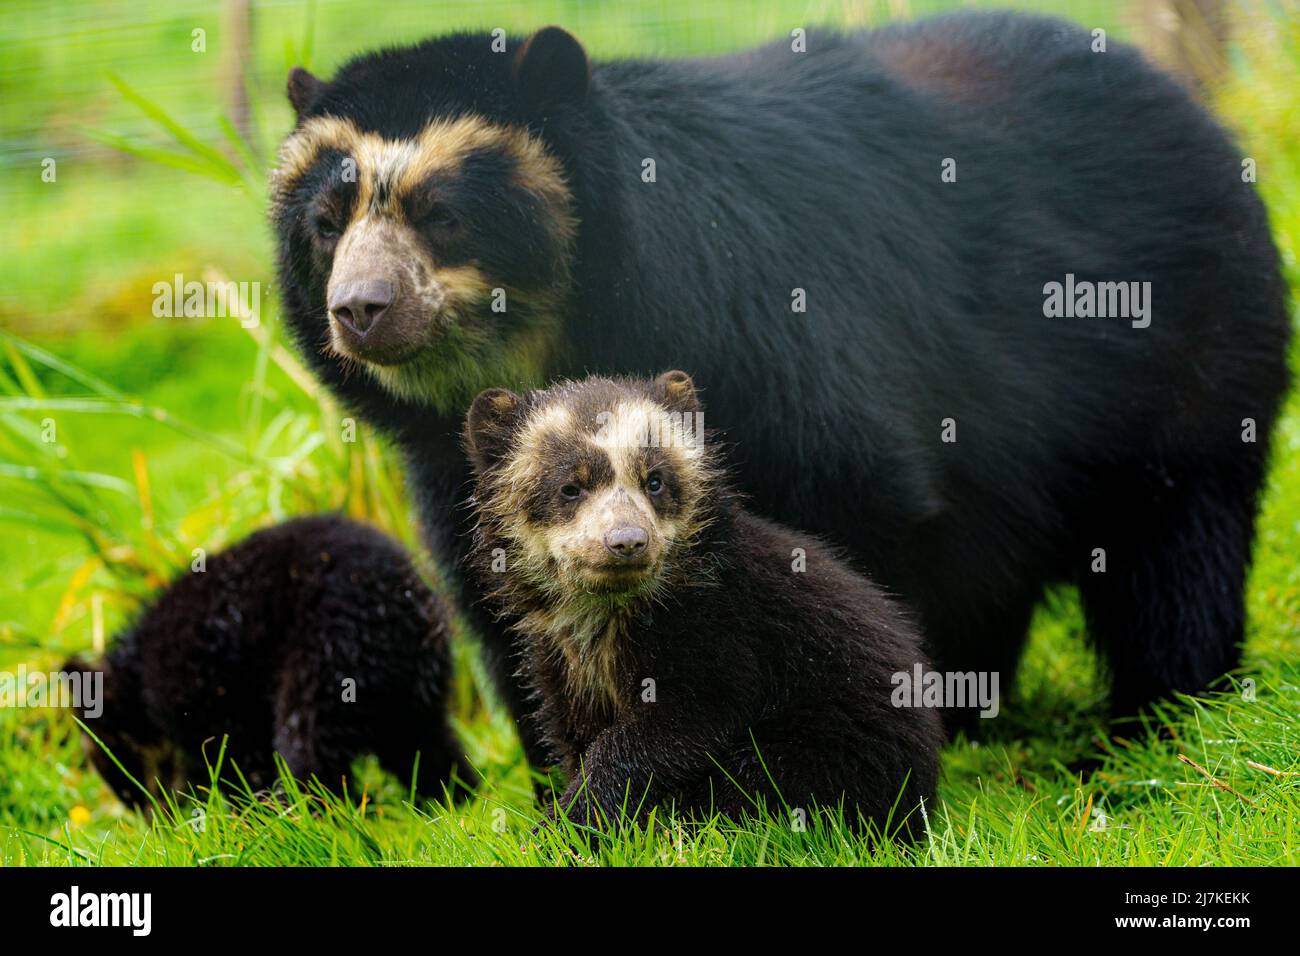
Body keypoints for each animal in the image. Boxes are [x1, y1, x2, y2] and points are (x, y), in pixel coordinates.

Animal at [64, 515, 469, 808]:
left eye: (123, 771)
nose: (161, 826)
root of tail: (404, 599)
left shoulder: (210, 701)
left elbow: (238, 761)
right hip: (412, 689)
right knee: (427, 744)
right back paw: (454, 799)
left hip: (327, 664)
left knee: (308, 749)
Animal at [270, 10, 1291, 752]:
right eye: (326, 225)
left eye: (441, 214)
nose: (359, 310)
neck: (566, 340)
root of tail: (1197, 113)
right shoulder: (457, 458)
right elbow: (505, 593)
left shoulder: (765, 327)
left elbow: (849, 517)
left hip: (1190, 349)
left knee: (1175, 548)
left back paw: (1159, 724)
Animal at [462, 371, 943, 838]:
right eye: (570, 487)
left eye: (655, 481)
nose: (628, 542)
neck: (612, 611)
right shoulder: (560, 659)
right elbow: (577, 733)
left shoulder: (715, 629)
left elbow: (686, 718)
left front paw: (565, 828)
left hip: (837, 744)